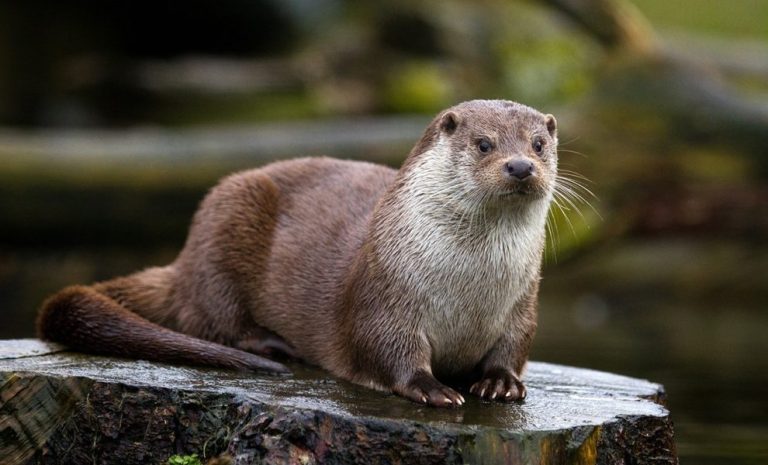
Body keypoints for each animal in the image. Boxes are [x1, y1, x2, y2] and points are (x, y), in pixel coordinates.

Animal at [38, 100, 558, 407]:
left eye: (539, 144)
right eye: (484, 144)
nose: (520, 166)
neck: (470, 290)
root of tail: (183, 263)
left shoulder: (523, 304)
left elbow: (515, 346)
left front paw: (500, 383)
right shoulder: (383, 296)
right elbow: (386, 349)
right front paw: (433, 388)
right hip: (224, 221)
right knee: (210, 318)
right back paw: (272, 345)